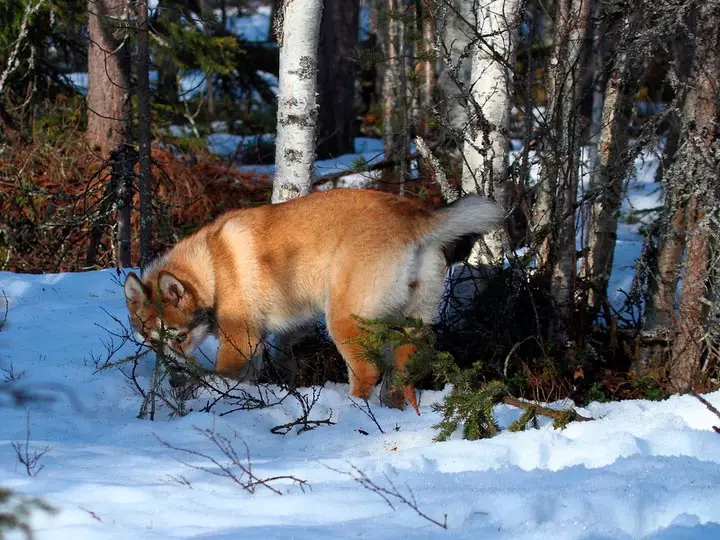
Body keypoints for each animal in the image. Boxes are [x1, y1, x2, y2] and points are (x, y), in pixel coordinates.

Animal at [122, 189, 500, 410]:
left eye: (180, 336)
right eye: (150, 342)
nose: (173, 380)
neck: (211, 269)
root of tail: (412, 217)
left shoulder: (240, 339)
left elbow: (222, 375)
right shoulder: (254, 344)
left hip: (343, 321)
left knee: (366, 373)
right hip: (411, 324)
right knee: (401, 373)